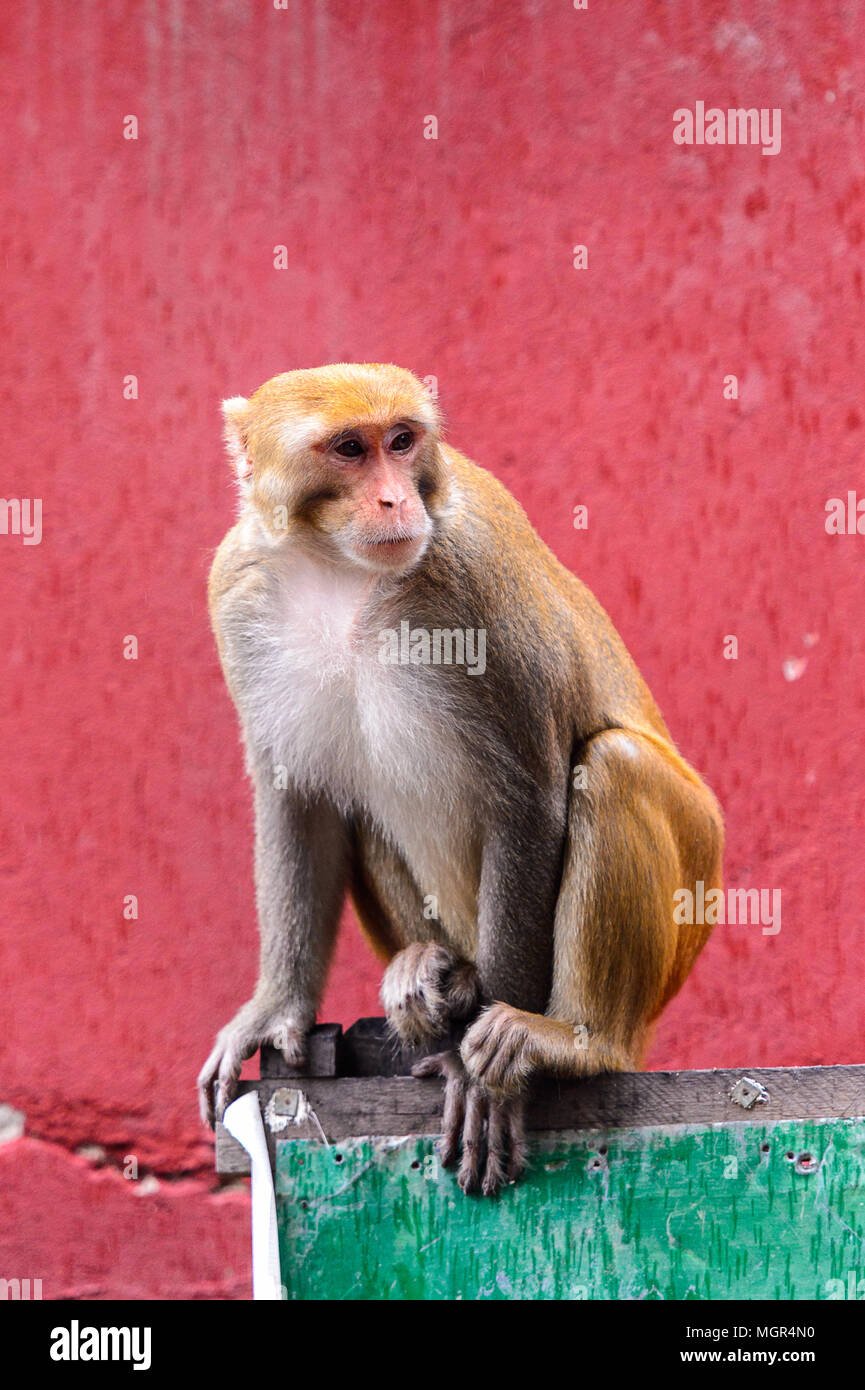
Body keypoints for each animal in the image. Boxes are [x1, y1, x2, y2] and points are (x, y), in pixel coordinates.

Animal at [197, 363, 723, 1196]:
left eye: (401, 442)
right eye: (349, 449)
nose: (395, 499)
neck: (339, 573)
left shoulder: (470, 579)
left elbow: (527, 799)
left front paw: (485, 1082)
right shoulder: (238, 591)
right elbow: (298, 798)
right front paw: (274, 1007)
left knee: (614, 766)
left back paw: (576, 1038)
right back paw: (435, 967)